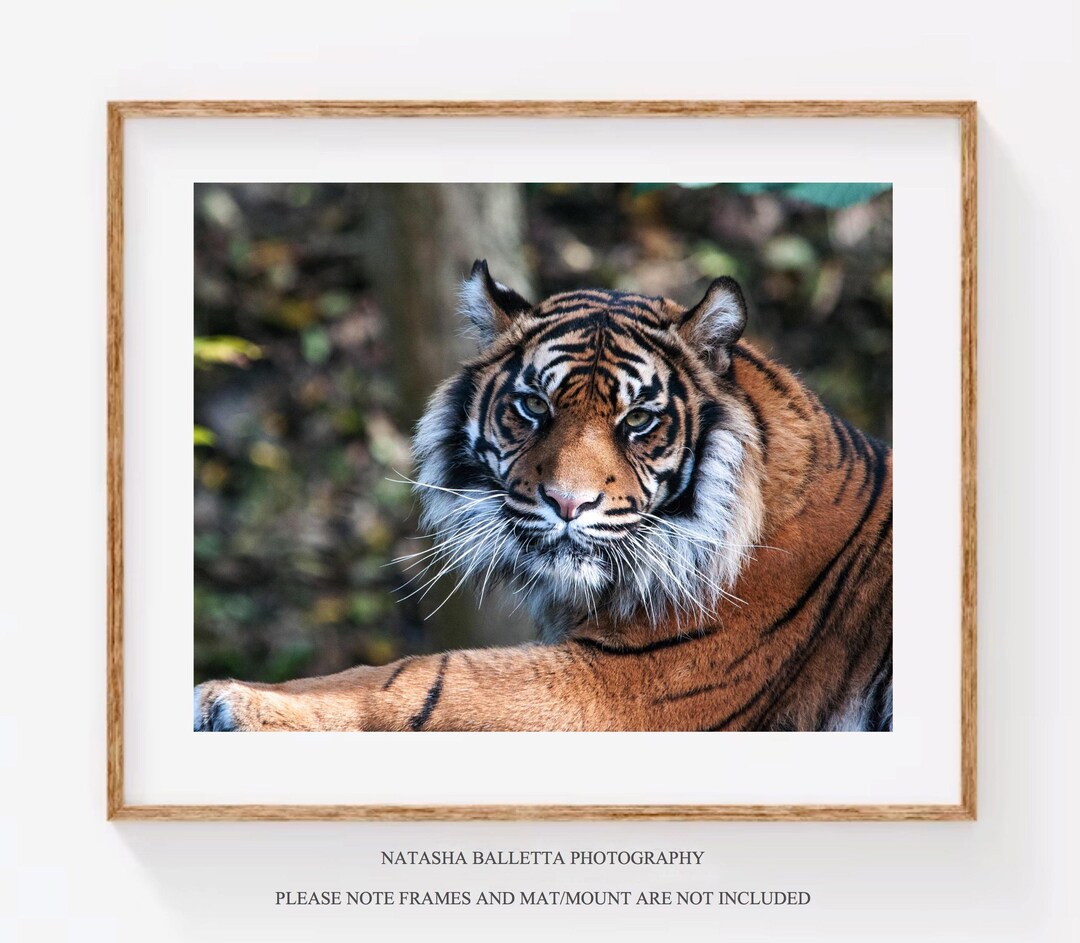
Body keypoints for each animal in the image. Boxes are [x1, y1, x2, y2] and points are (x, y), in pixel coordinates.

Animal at [194, 260, 892, 732]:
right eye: (533, 407)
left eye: (638, 420)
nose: (567, 503)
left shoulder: (629, 686)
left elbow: (426, 679)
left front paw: (230, 698)